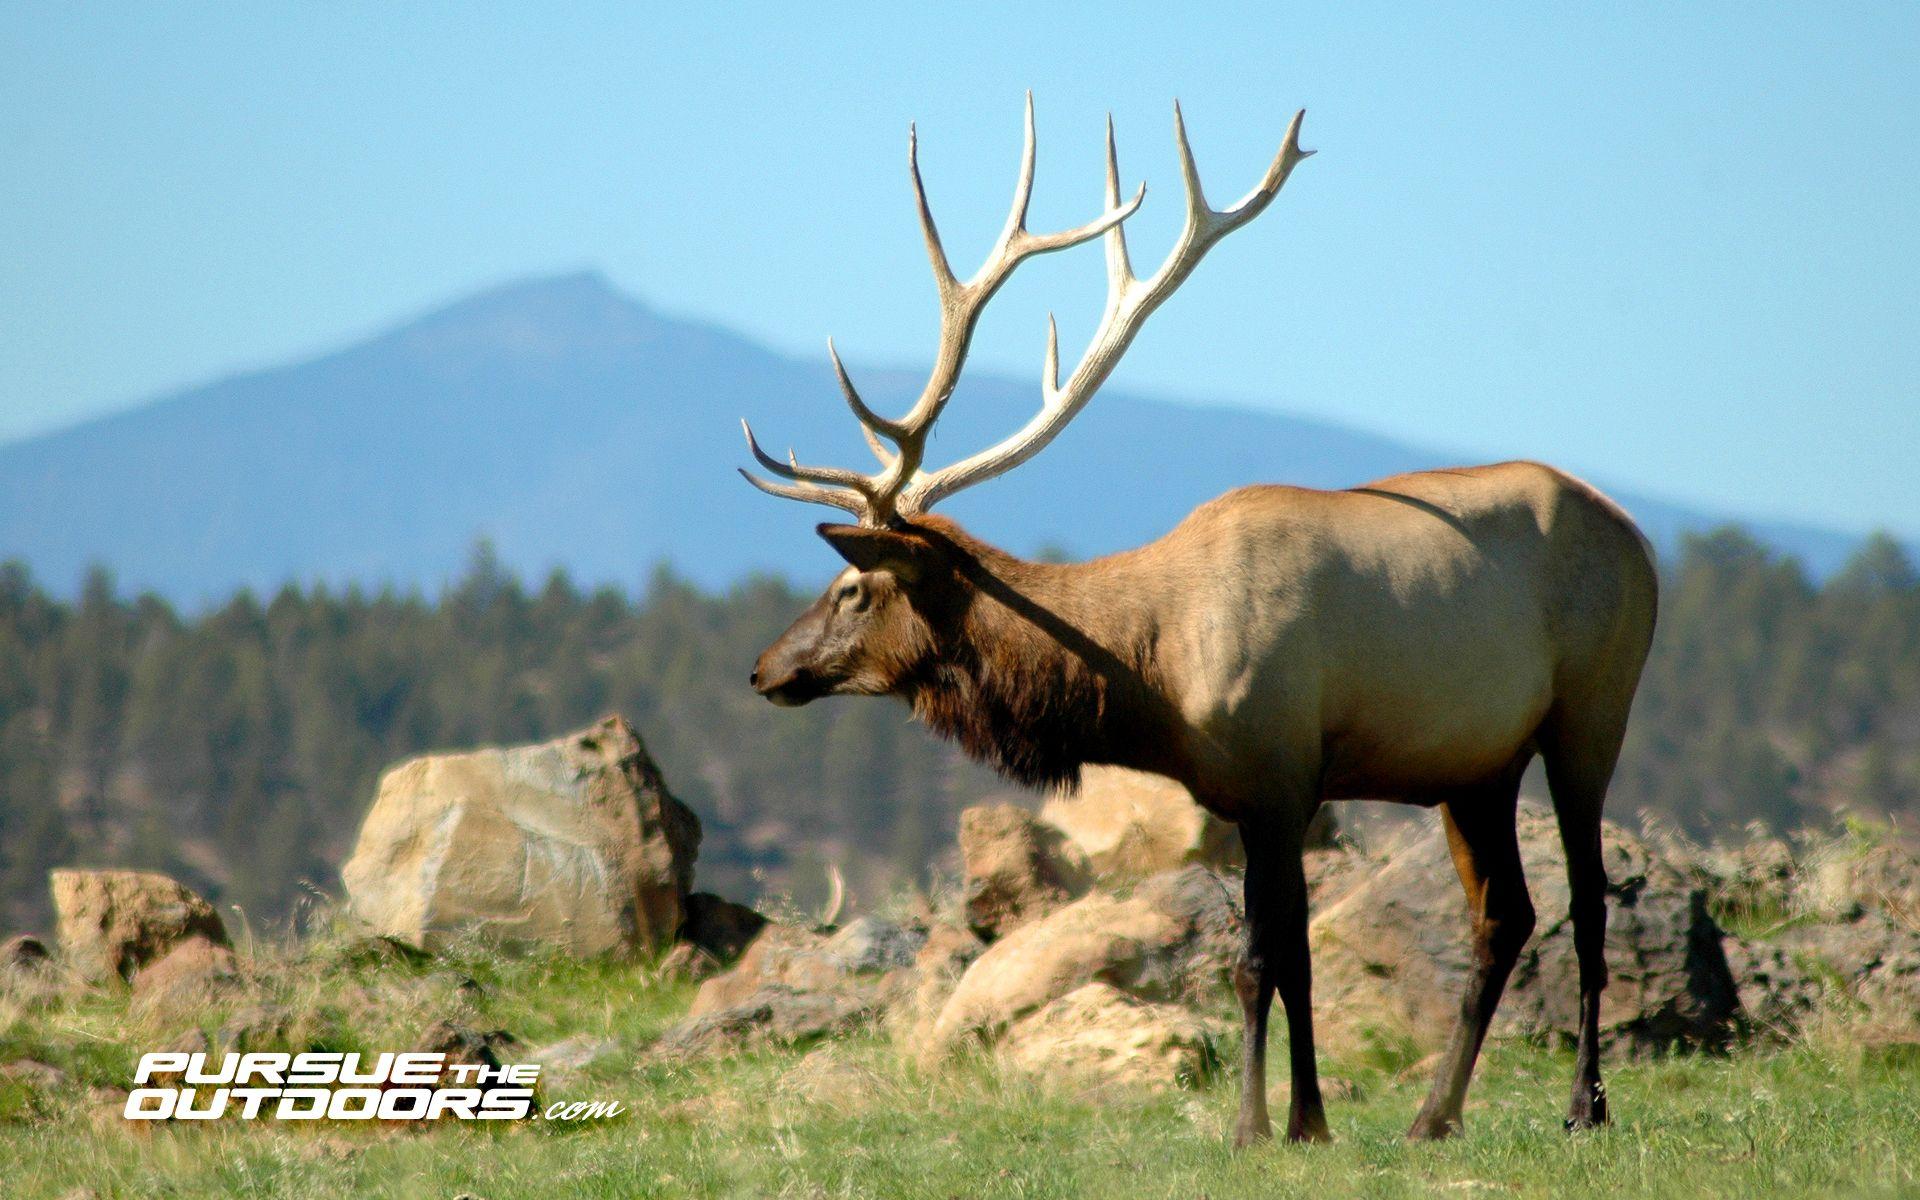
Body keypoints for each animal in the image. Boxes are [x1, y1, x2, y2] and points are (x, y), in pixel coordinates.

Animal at [738, 97, 1658, 1147]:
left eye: (852, 588)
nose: (764, 669)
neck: (1155, 679)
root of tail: (1643, 542)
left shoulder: (1280, 777)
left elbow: (1261, 962)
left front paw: (1257, 1125)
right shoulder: (1263, 796)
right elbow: (1293, 961)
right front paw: (1309, 1121)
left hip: (1591, 712)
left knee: (1588, 903)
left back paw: (1585, 1107)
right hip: (1476, 768)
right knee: (1505, 915)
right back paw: (1434, 1115)